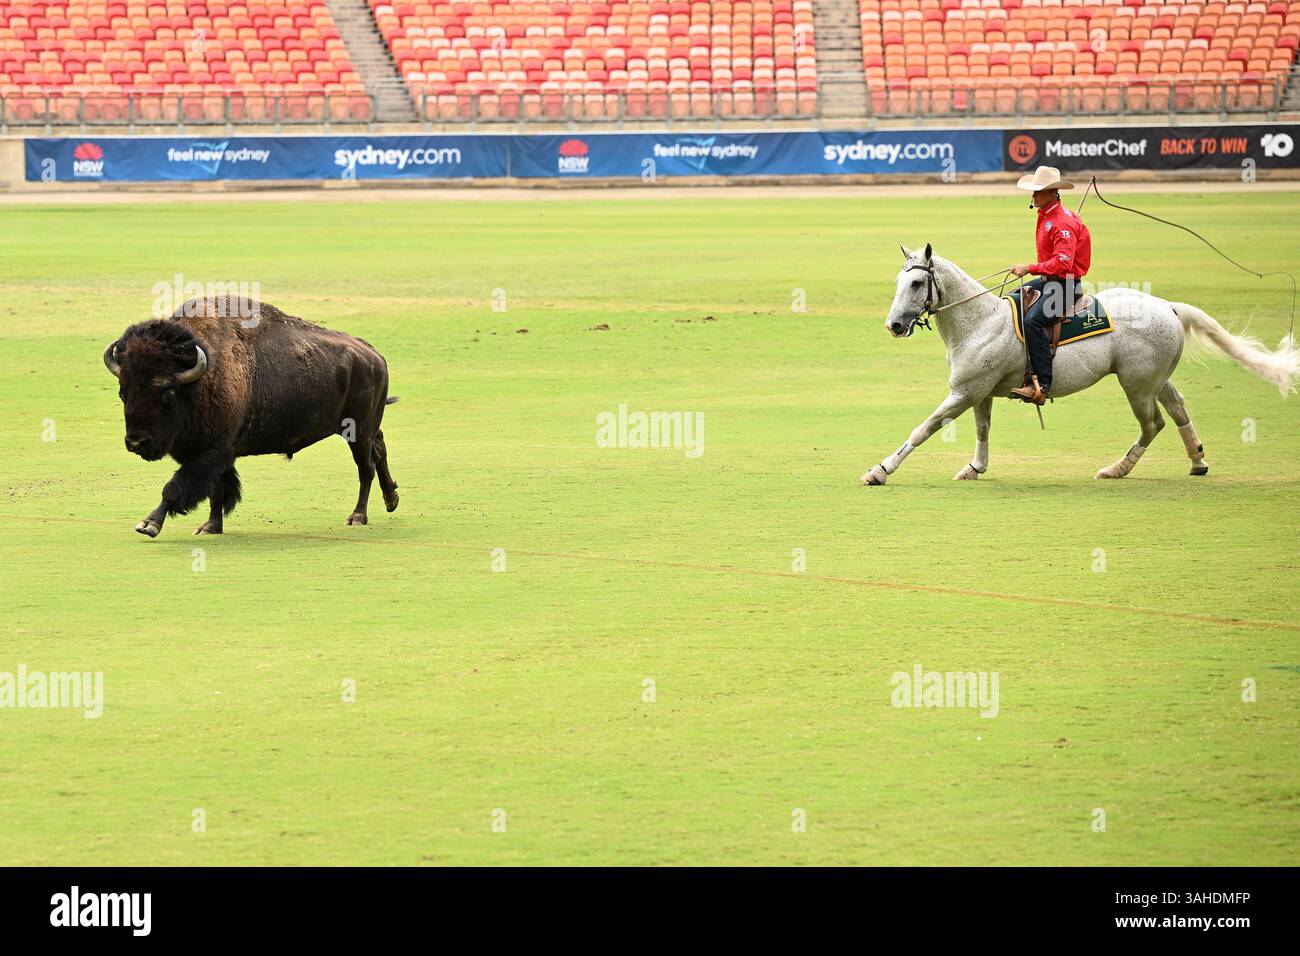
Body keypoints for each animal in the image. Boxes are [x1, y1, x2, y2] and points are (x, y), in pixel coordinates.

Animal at [103, 296, 399, 537]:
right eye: (123, 392)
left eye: (168, 391)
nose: (137, 442)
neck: (202, 377)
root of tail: (374, 355)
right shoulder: (218, 454)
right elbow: (217, 490)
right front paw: (210, 527)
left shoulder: (211, 452)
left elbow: (177, 487)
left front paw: (149, 524)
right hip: (365, 428)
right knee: (380, 448)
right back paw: (391, 500)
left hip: (357, 432)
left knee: (366, 467)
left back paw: (357, 516)